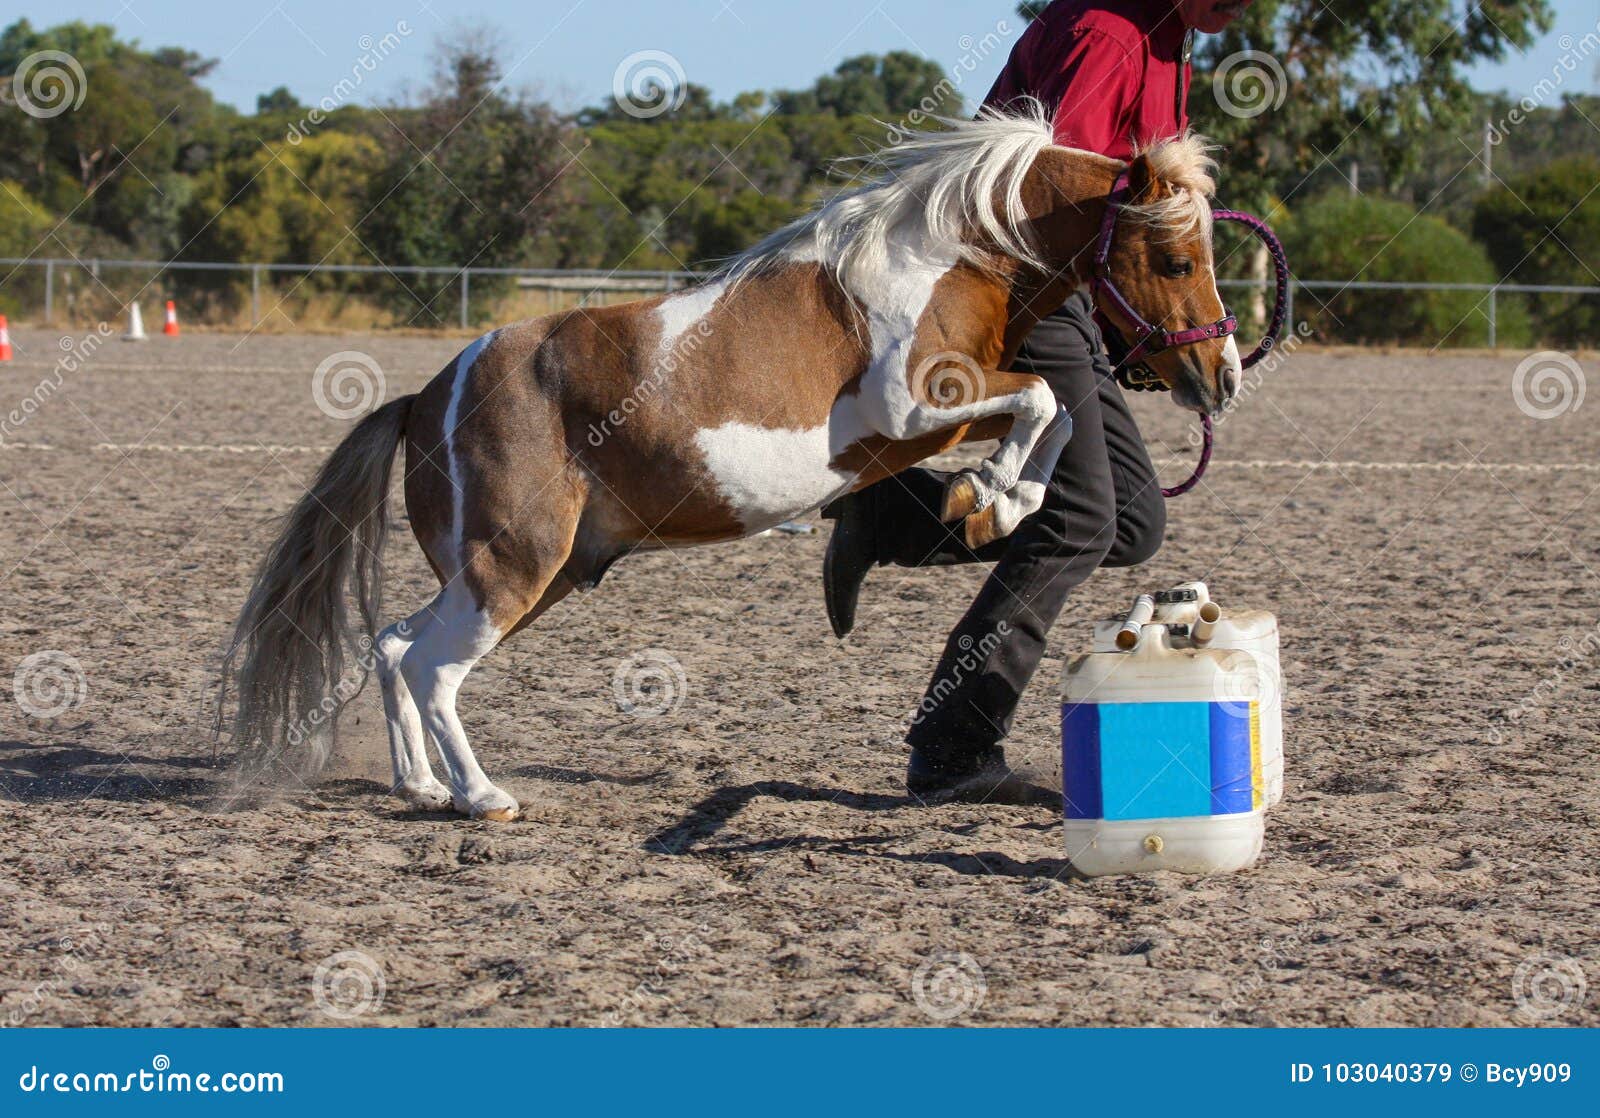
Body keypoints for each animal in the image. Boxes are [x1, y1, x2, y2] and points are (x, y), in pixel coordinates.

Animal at [221, 105, 1241, 821]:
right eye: (1175, 258)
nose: (1221, 376)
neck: (940, 261)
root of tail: (425, 397)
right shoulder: (911, 406)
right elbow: (1040, 400)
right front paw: (989, 492)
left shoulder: (933, 420)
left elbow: (1050, 414)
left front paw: (997, 498)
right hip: (513, 570)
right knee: (433, 668)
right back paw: (482, 799)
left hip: (520, 576)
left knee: (397, 647)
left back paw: (422, 788)